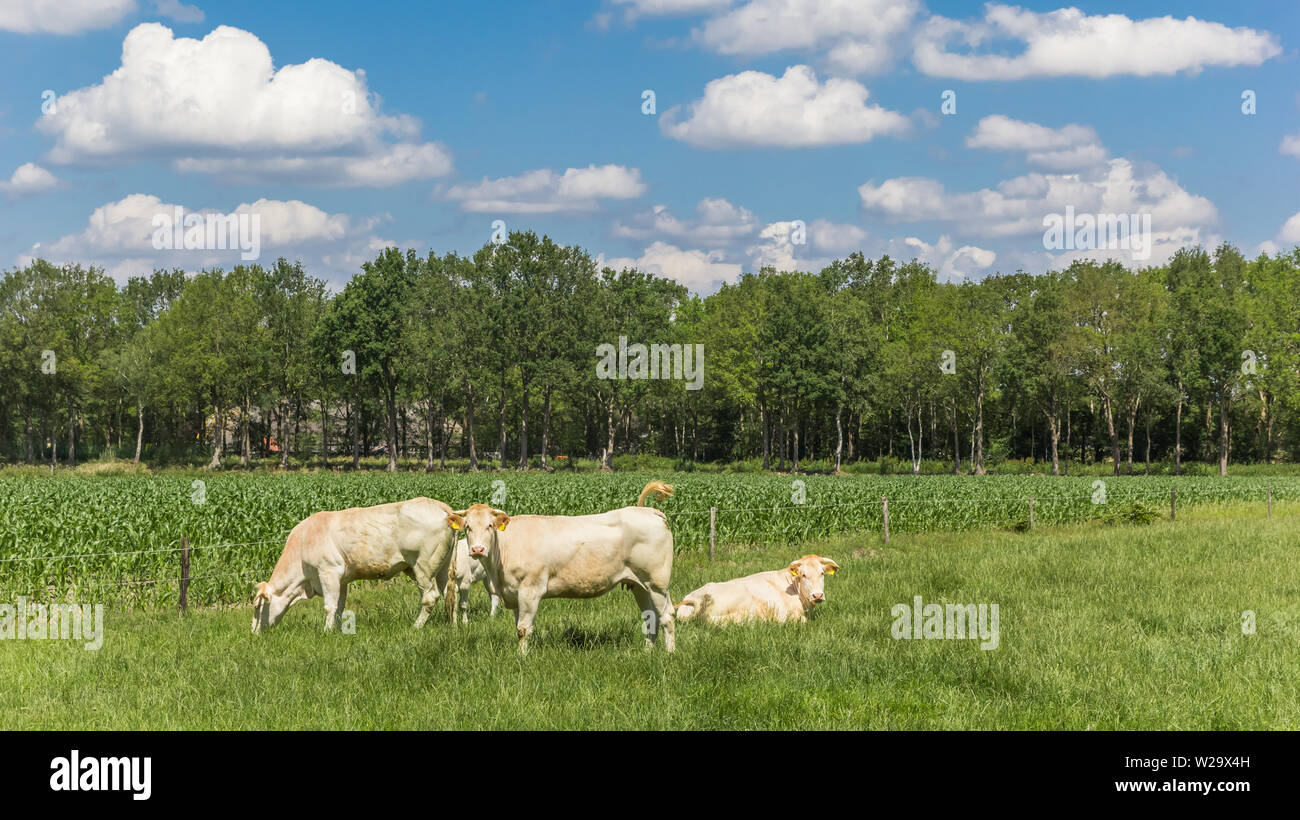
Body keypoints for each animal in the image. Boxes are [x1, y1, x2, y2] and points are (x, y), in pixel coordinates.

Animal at [252, 497, 463, 633]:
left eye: (257, 607)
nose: (253, 632)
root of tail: (441, 507)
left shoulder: (328, 572)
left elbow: (329, 606)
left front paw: (326, 632)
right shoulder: (342, 580)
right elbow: (339, 606)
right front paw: (337, 630)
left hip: (423, 567)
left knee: (430, 597)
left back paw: (416, 627)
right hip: (443, 568)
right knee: (449, 593)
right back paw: (453, 626)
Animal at [456, 480, 676, 654]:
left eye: (489, 526)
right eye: (468, 527)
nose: (477, 549)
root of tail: (649, 511)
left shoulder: (530, 590)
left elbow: (524, 629)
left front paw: (522, 658)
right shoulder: (513, 592)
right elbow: (518, 627)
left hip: (657, 583)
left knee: (667, 616)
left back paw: (670, 654)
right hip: (640, 585)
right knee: (651, 617)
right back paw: (647, 653)